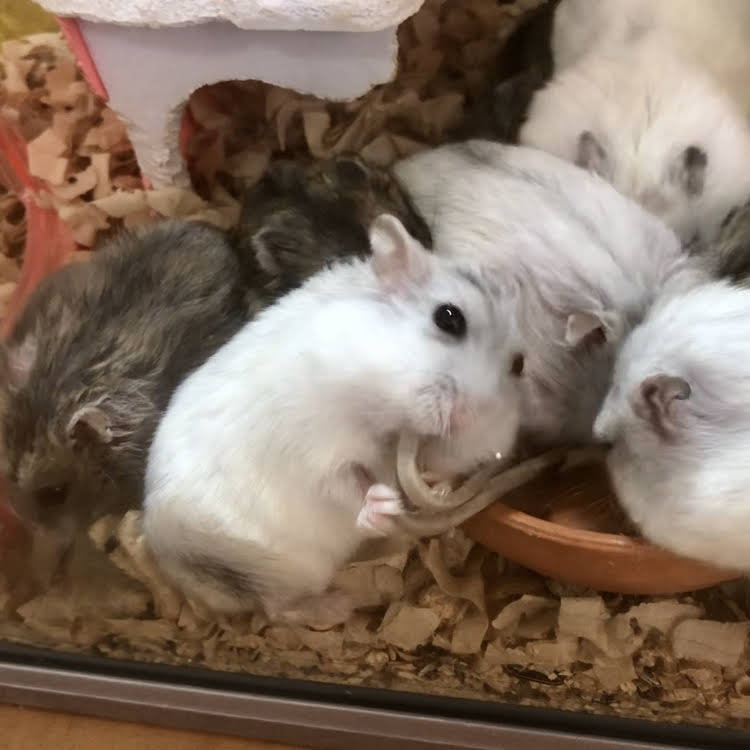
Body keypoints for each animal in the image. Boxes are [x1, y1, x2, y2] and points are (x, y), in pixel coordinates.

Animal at [144, 214, 523, 624]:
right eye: (449, 318)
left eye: (518, 365)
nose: (466, 419)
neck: (381, 416)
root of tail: (178, 564)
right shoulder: (318, 454)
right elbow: (346, 488)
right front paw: (383, 505)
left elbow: (444, 466)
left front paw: (435, 486)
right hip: (285, 567)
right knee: (277, 610)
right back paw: (341, 605)